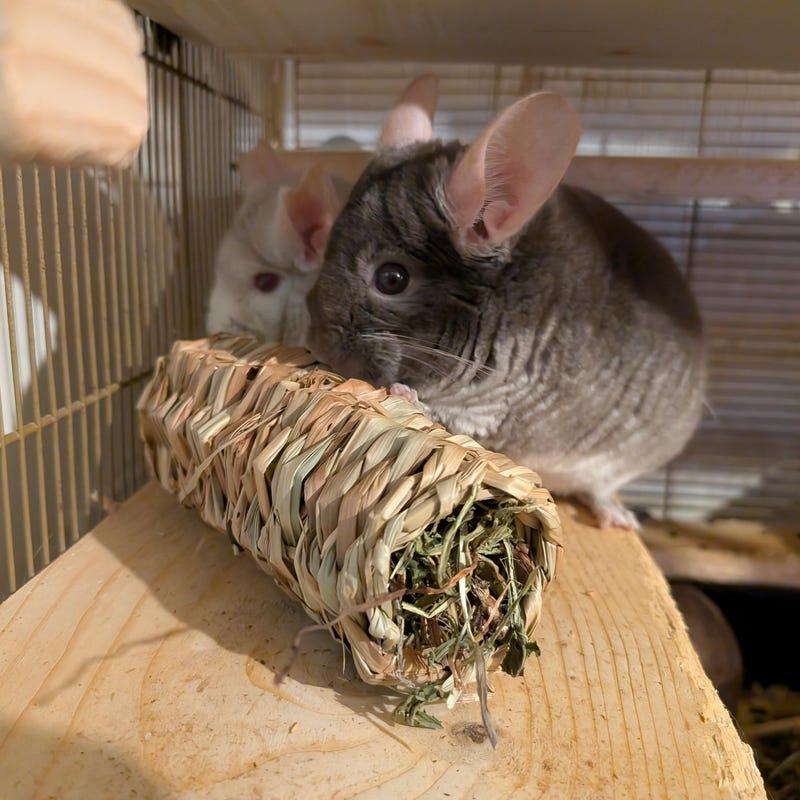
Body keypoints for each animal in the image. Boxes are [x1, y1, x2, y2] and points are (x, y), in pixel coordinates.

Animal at [306, 76, 707, 529]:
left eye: (392, 279)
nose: (315, 344)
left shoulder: (503, 403)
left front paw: (404, 393)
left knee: (600, 489)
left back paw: (618, 518)